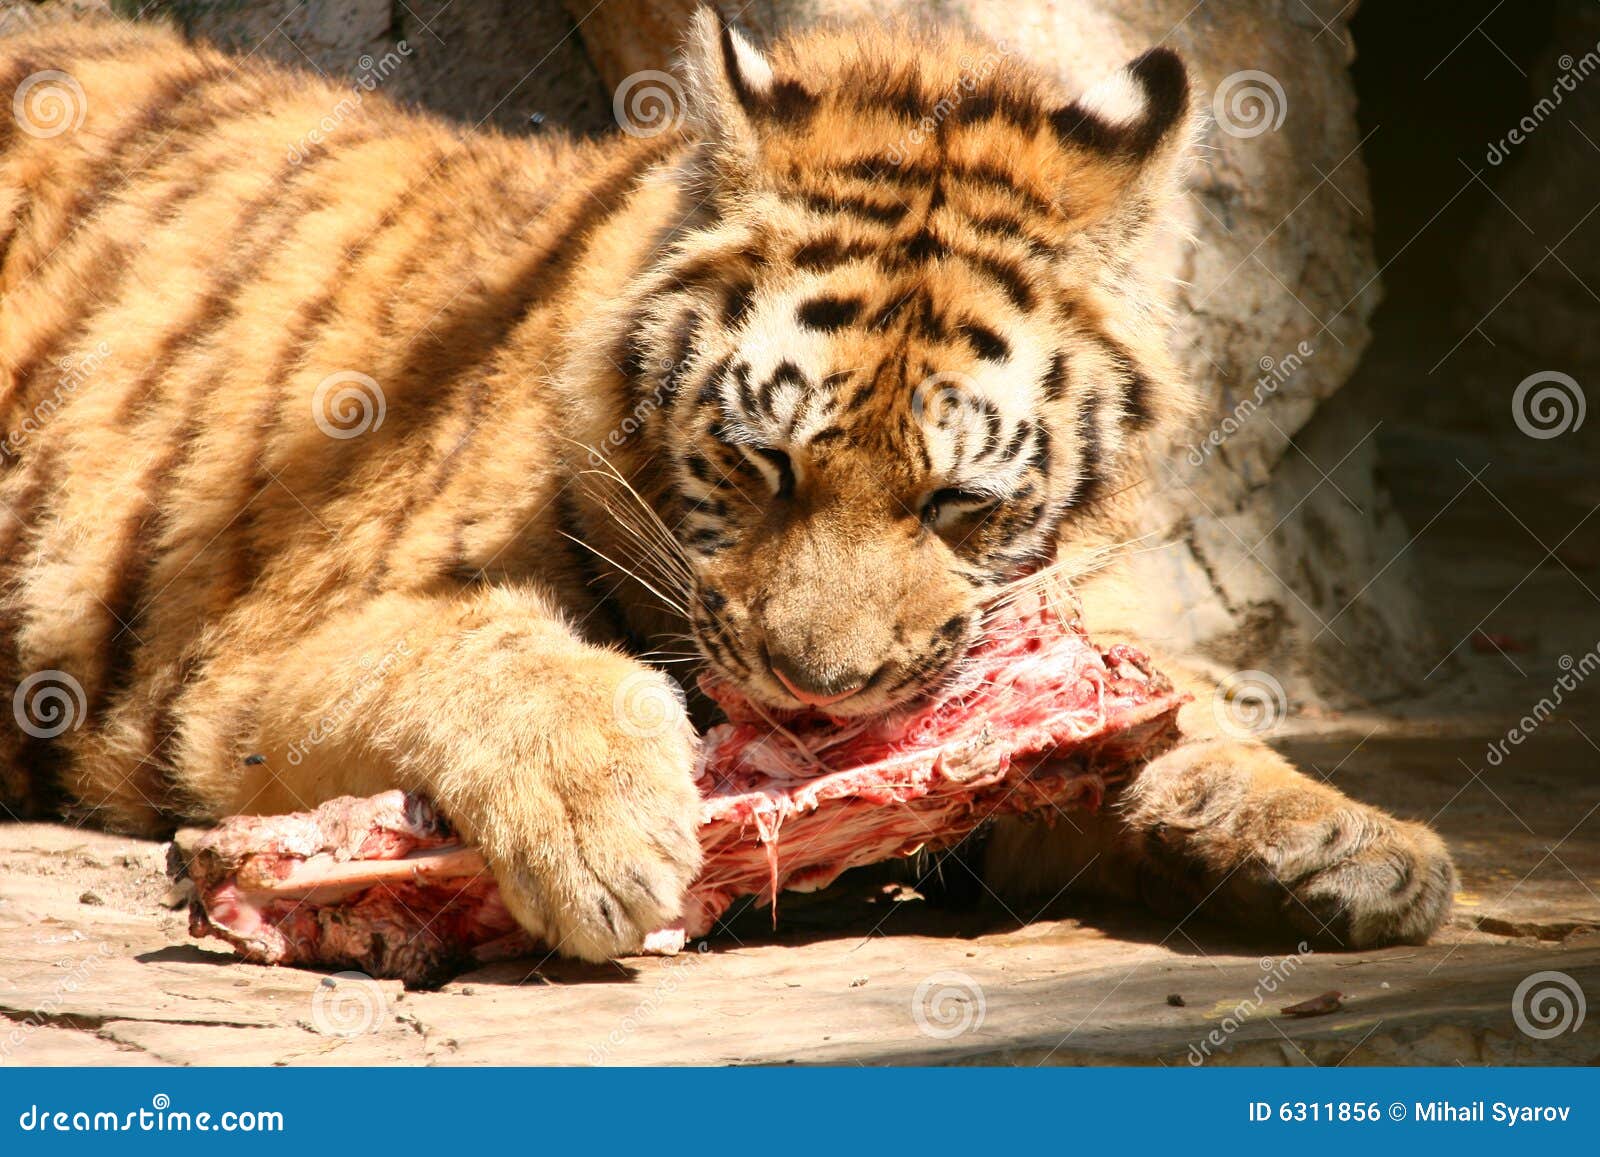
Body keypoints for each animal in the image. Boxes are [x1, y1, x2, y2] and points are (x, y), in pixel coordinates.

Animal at [0, 5, 1454, 961]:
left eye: (956, 503)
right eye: (765, 463)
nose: (820, 694)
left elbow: (1165, 731)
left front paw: (1354, 842)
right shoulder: (242, 665)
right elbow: (483, 651)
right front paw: (606, 833)